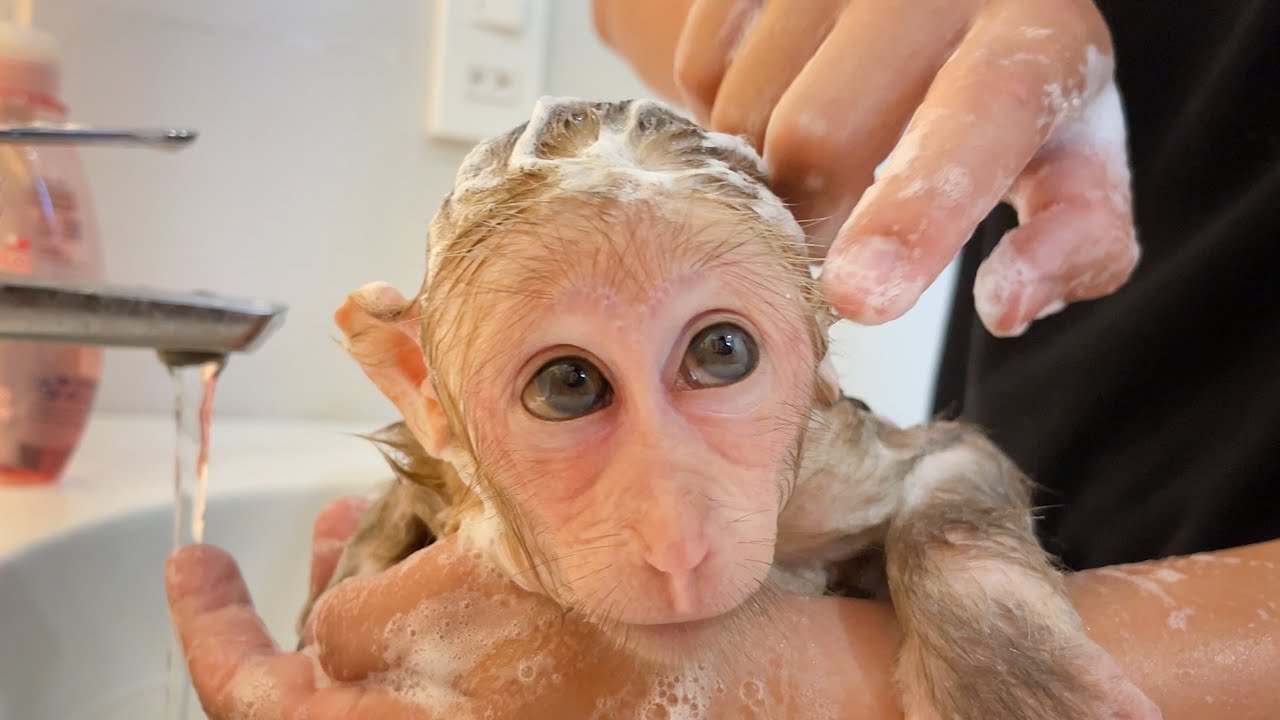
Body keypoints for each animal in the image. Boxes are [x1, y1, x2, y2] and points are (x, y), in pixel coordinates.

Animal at [298, 97, 1161, 720]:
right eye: (569, 384)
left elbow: (951, 464)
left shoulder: (820, 478)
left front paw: (1017, 684)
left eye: (721, 352)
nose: (676, 537)